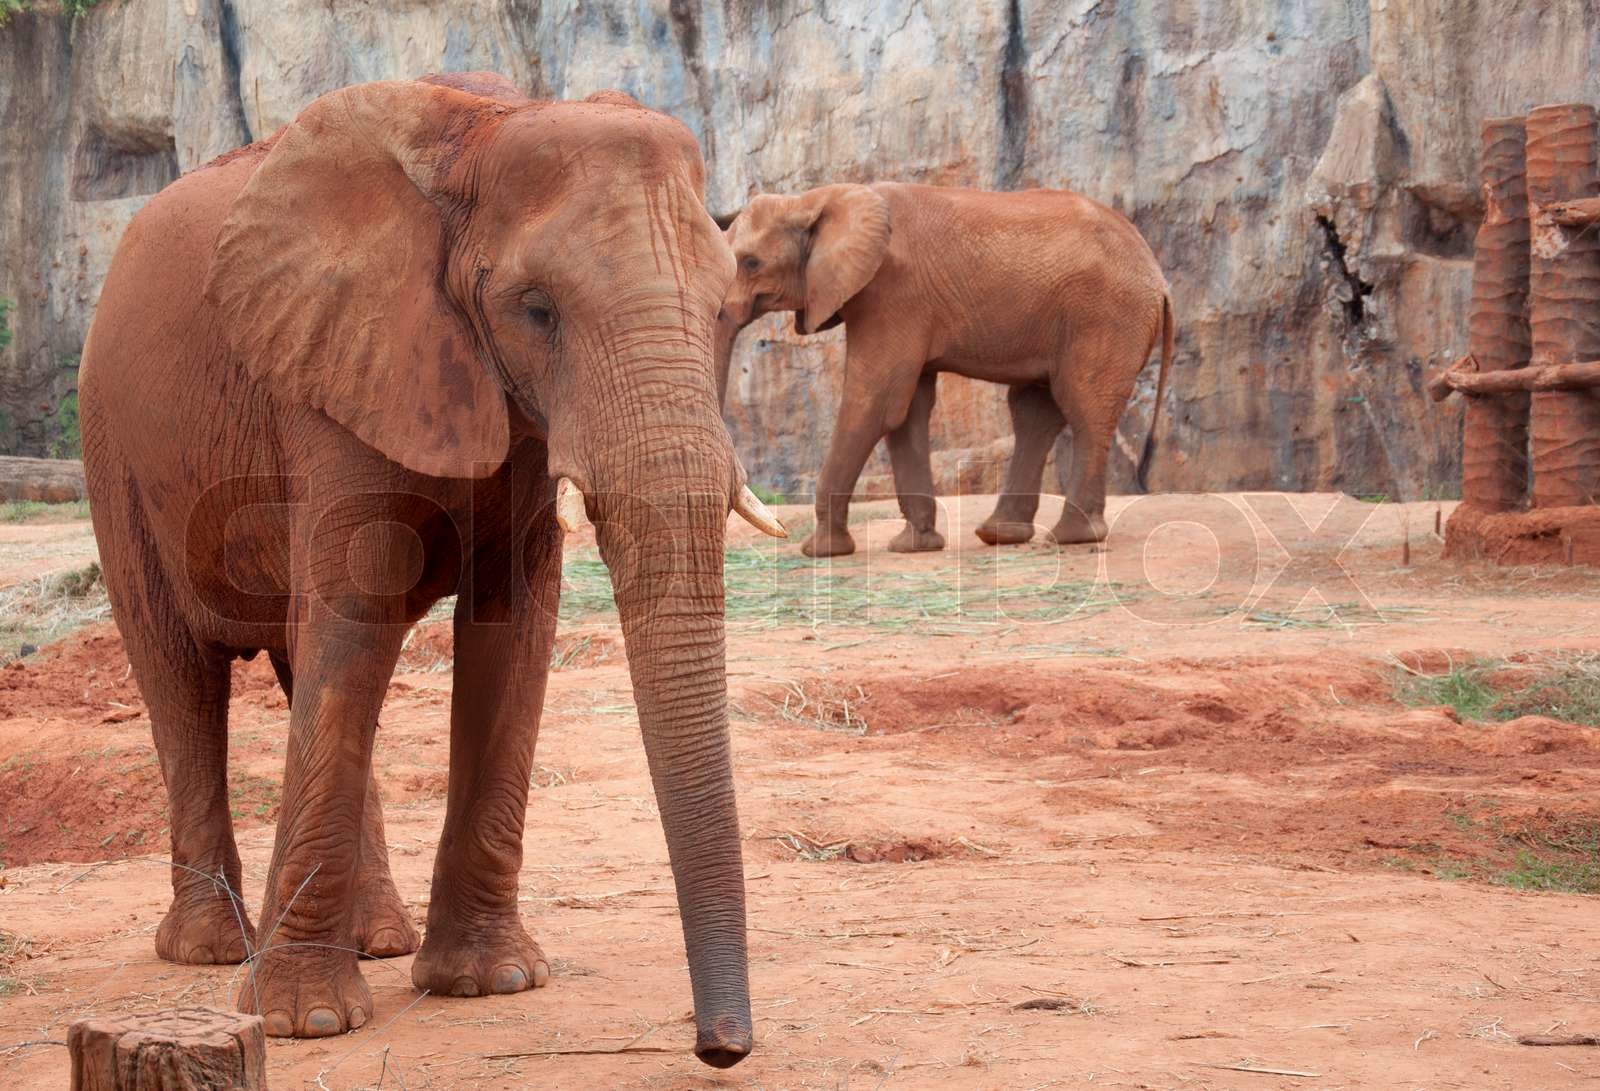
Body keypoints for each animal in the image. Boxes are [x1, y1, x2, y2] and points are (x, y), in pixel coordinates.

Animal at [78, 72, 782, 1066]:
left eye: (726, 311)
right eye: (537, 309)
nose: (721, 1047)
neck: (488, 132)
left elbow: (509, 633)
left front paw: (492, 981)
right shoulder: (333, 374)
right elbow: (353, 620)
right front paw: (303, 1021)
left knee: (300, 665)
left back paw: (377, 938)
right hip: (114, 451)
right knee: (183, 676)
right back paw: (213, 950)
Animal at [717, 182, 1175, 557]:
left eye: (751, 263)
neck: (815, 198)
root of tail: (1159, 277)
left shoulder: (892, 293)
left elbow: (875, 403)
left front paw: (822, 551)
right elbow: (905, 409)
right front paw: (913, 546)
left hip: (1105, 316)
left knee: (1083, 407)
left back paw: (1072, 538)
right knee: (1035, 411)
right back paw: (1000, 535)